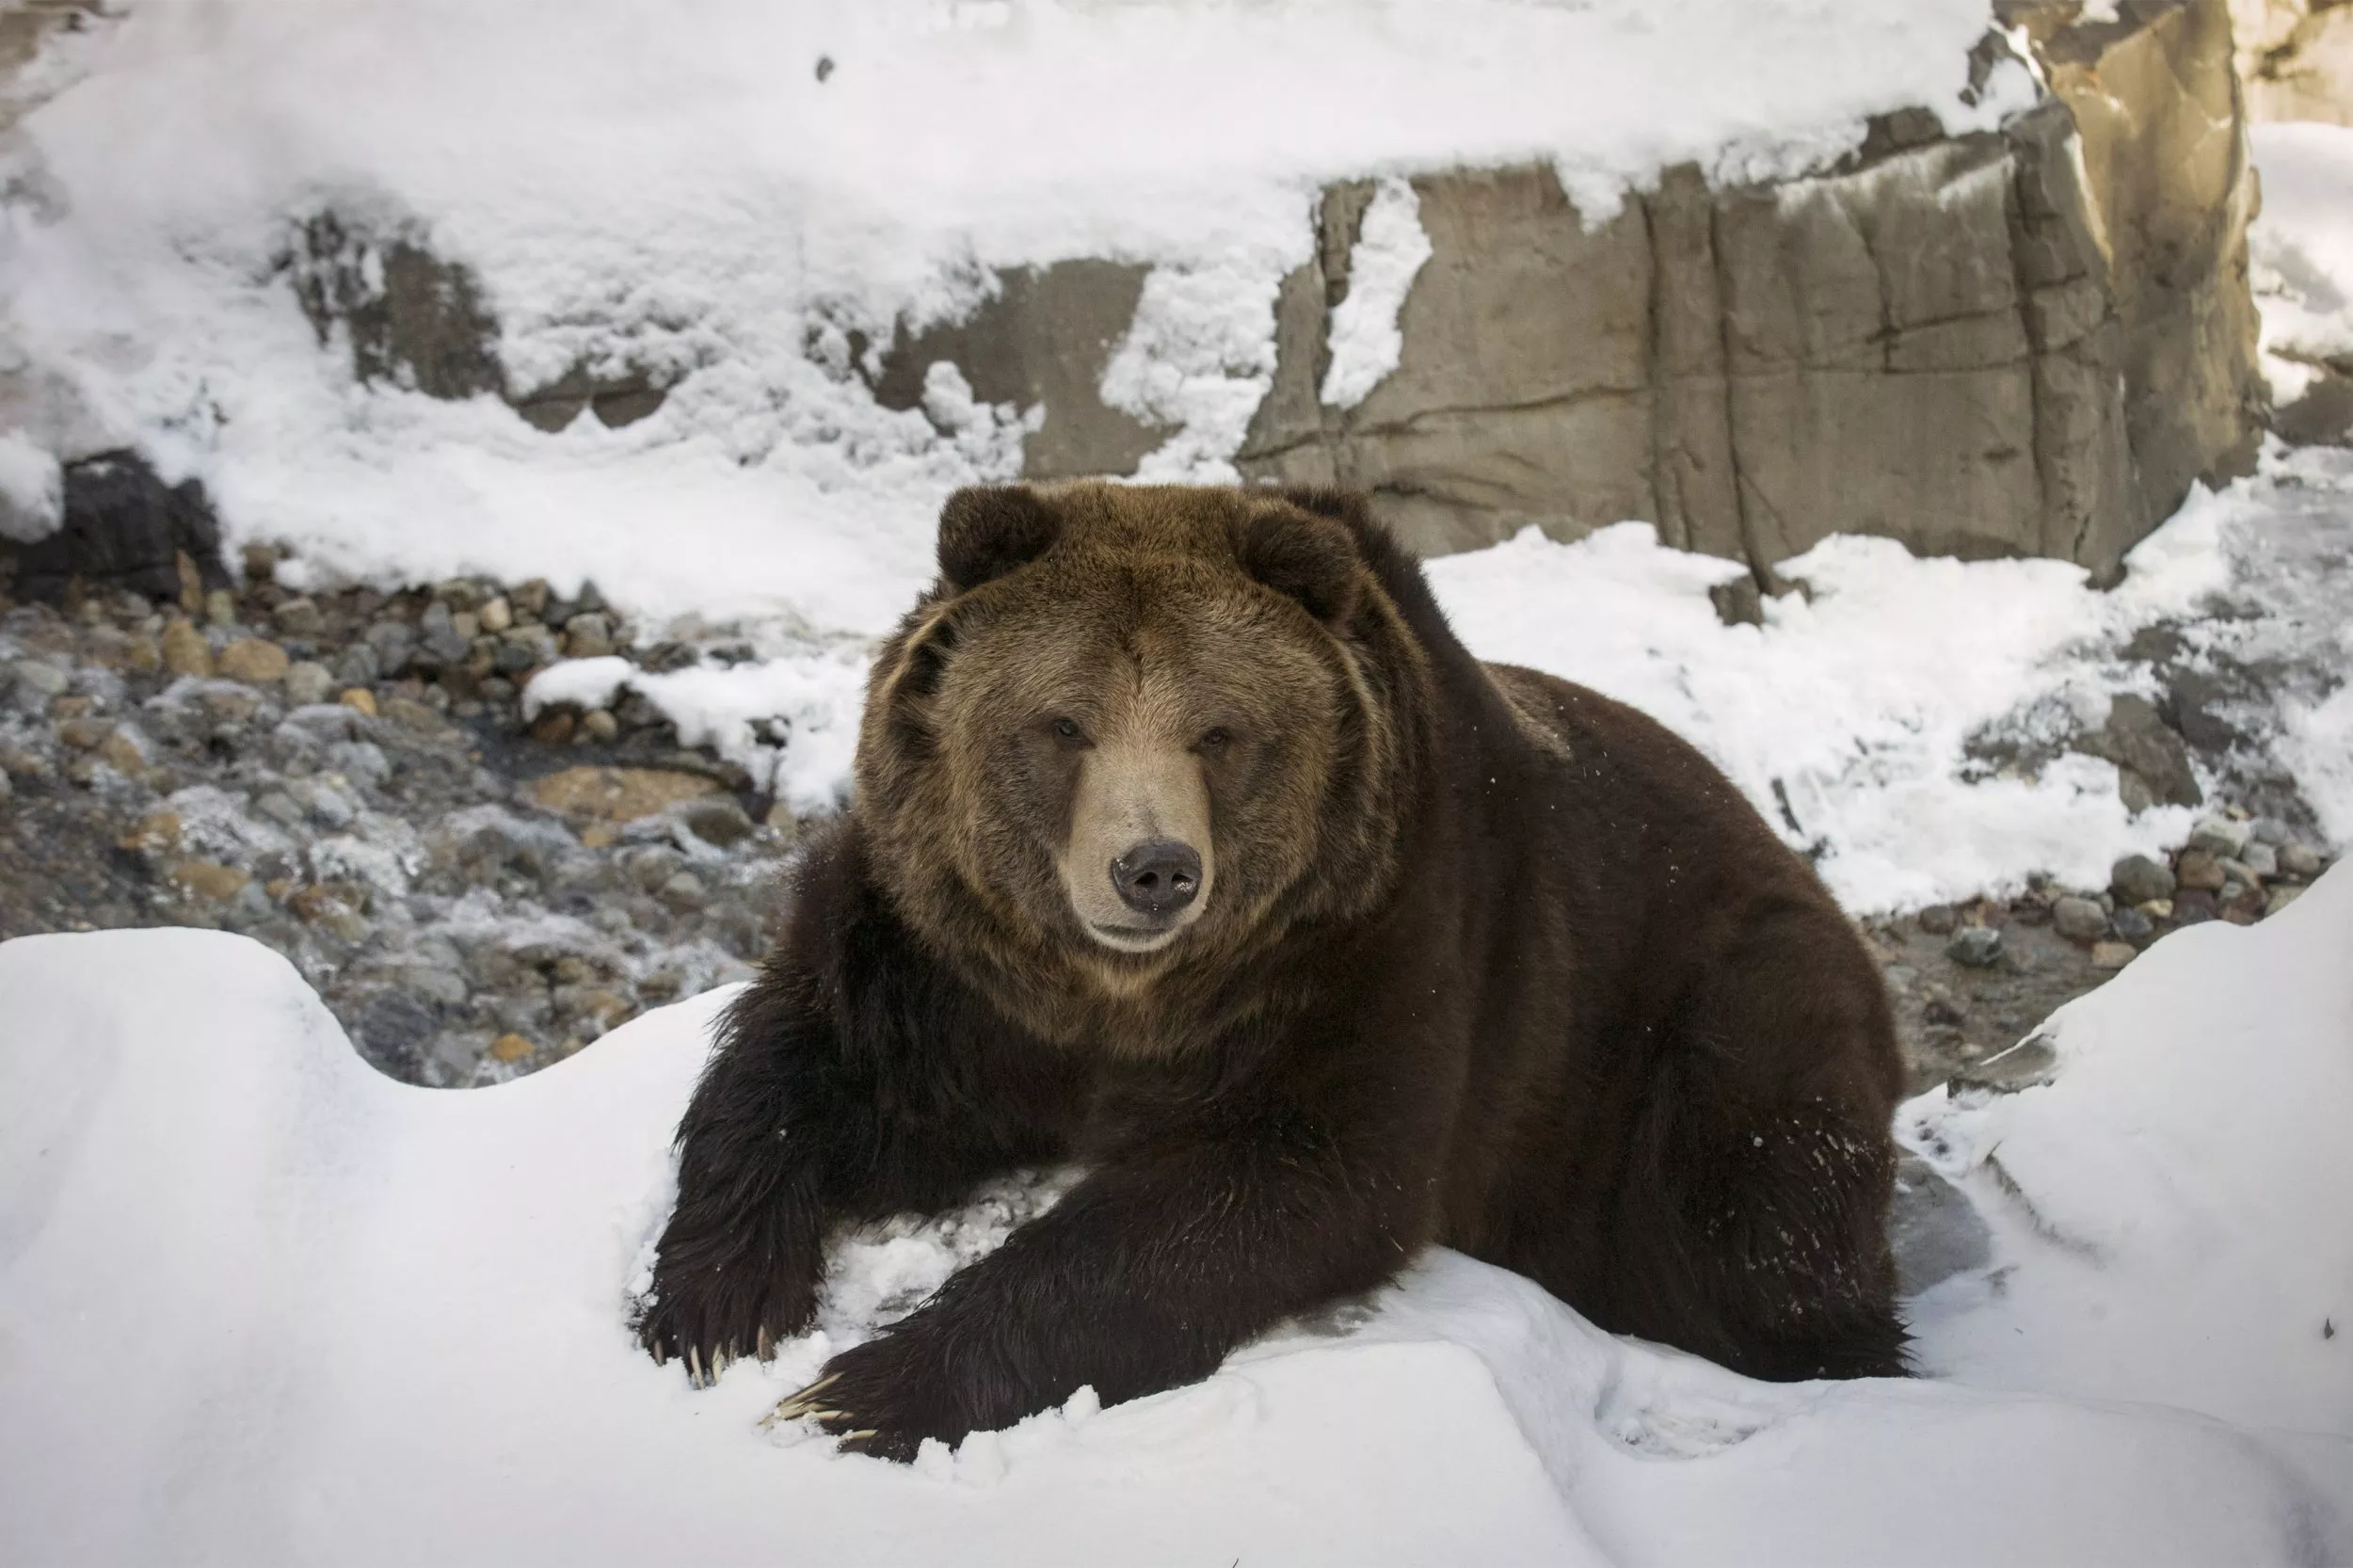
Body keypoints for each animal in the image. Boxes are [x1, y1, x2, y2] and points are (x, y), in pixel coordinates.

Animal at [636, 481, 1907, 1460]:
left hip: (1714, 1009)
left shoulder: (1371, 946)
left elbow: (1273, 1184)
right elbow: (810, 1064)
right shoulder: (954, 964)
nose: (1154, 869)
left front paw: (866, 1388)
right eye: (1063, 724)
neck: (1121, 999)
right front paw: (718, 1306)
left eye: (1218, 731)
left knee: (1756, 1210)